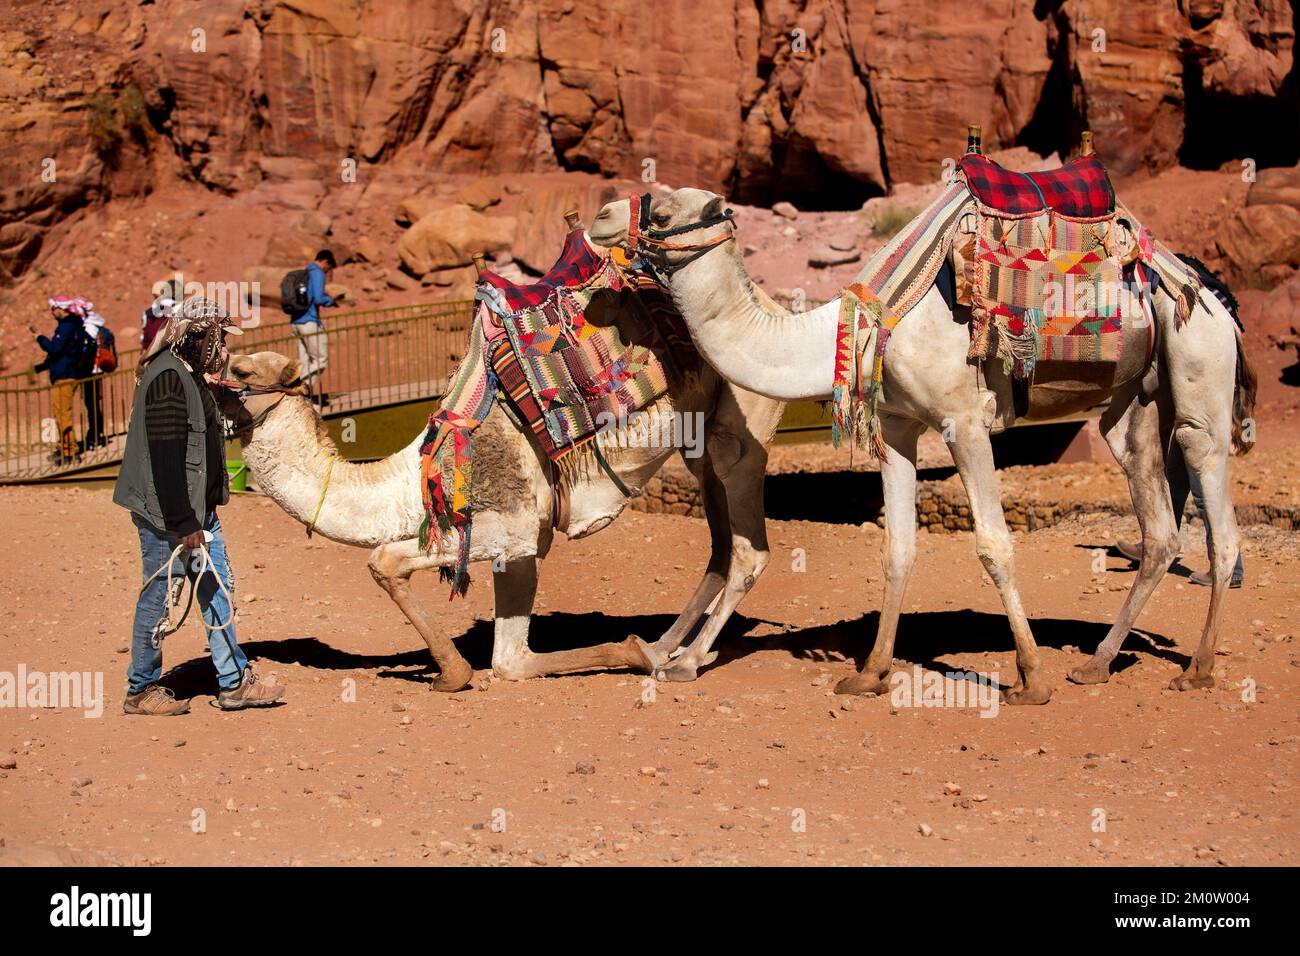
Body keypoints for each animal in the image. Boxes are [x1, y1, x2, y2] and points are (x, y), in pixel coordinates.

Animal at [218, 333, 784, 691]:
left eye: (239, 369)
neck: (410, 481)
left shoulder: (512, 531)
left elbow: (387, 562)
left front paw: (452, 674)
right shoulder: (513, 546)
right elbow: (507, 659)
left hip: (743, 426)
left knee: (748, 551)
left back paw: (683, 662)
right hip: (699, 448)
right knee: (719, 550)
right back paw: (668, 644)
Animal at [589, 188, 1256, 703]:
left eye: (660, 210)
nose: (597, 216)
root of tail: (1210, 292)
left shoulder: (963, 420)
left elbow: (993, 545)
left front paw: (1030, 678)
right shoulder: (898, 426)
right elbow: (898, 547)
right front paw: (870, 674)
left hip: (1198, 360)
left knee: (1216, 514)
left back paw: (1197, 668)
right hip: (1132, 404)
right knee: (1159, 526)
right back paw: (1096, 663)